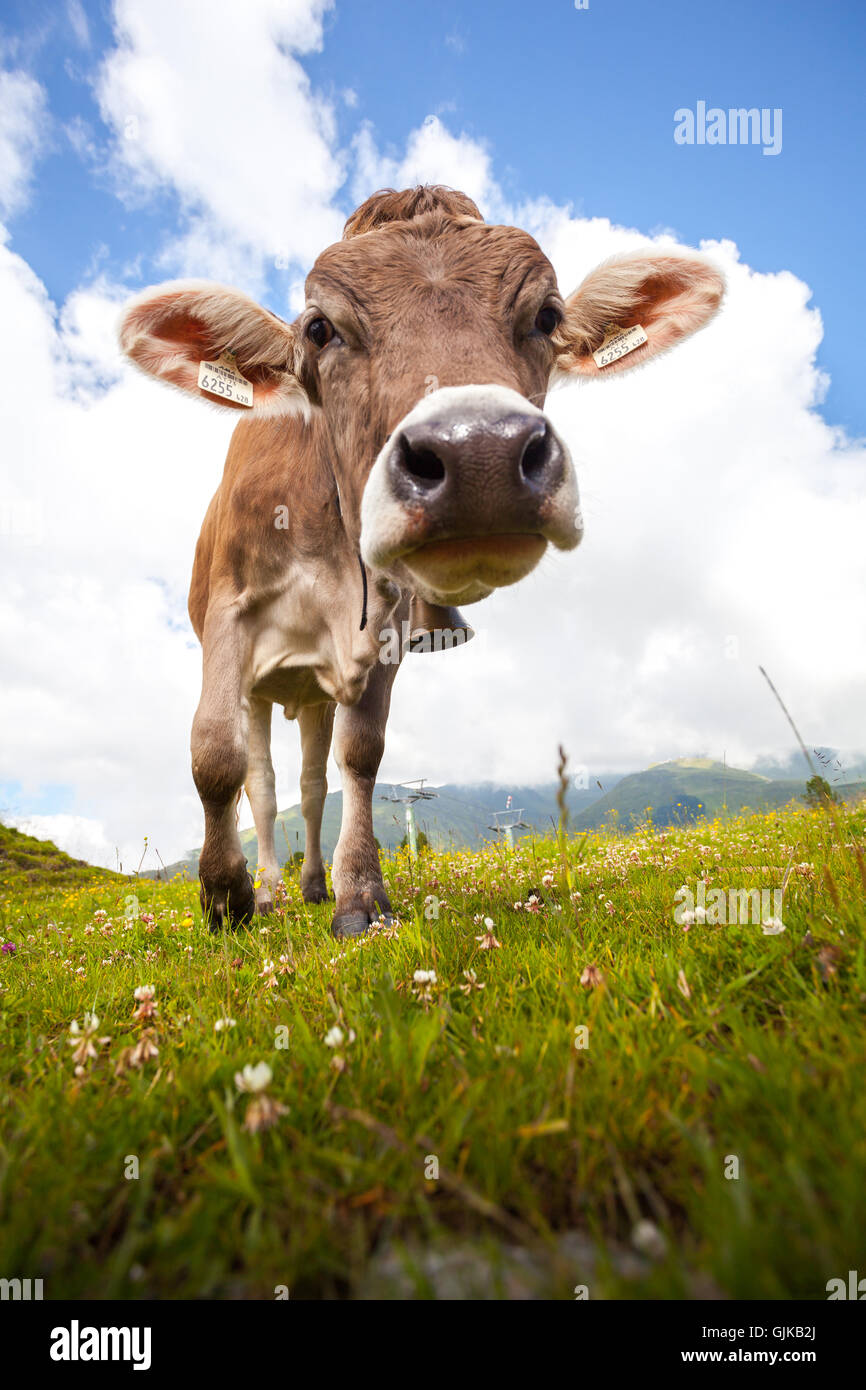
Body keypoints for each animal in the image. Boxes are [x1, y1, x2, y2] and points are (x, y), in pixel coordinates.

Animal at [119, 185, 724, 937]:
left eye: (547, 316)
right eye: (320, 329)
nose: (480, 454)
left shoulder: (382, 631)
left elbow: (360, 755)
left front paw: (357, 895)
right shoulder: (228, 615)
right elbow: (214, 755)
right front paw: (225, 895)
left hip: (310, 693)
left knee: (310, 784)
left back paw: (311, 884)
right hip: (264, 687)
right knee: (262, 781)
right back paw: (270, 889)